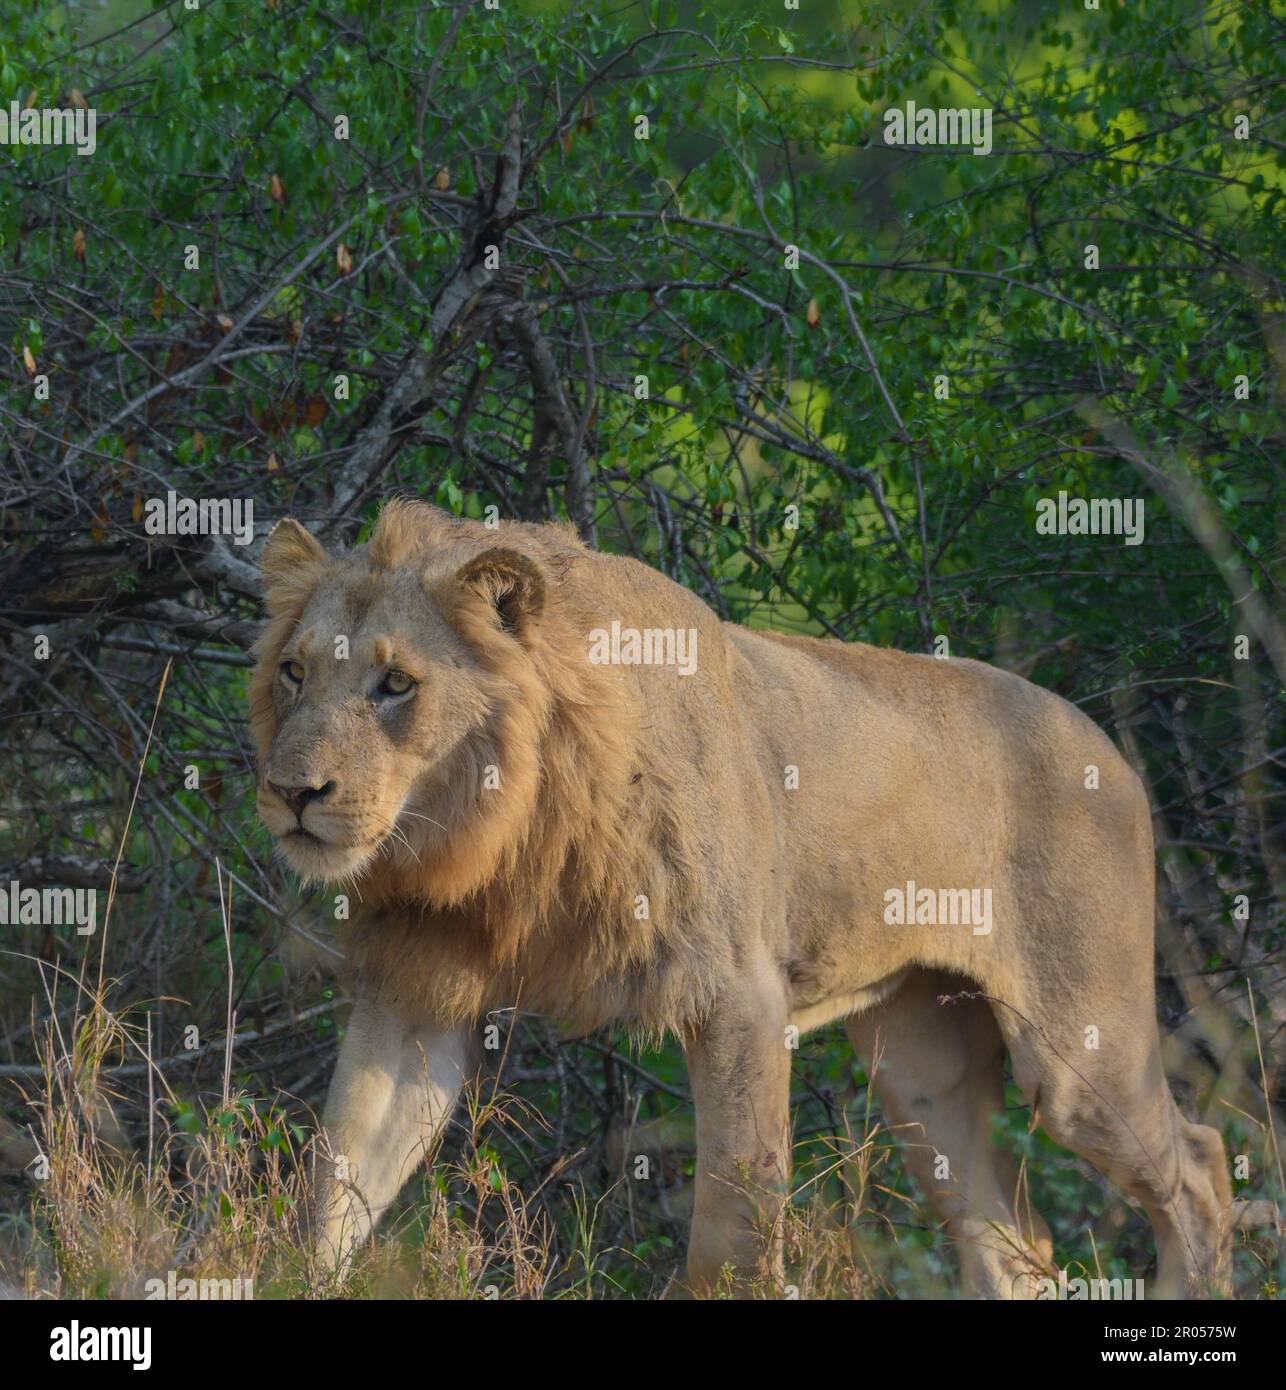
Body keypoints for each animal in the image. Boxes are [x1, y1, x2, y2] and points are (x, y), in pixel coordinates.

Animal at [249, 498, 1232, 1298]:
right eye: (294, 673)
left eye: (396, 684)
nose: (292, 793)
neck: (495, 839)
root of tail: (1110, 748)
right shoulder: (416, 993)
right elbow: (335, 1177)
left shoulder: (738, 995)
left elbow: (735, 1230)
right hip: (924, 1070)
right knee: (1015, 1246)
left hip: (1077, 1057)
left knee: (1202, 1171)